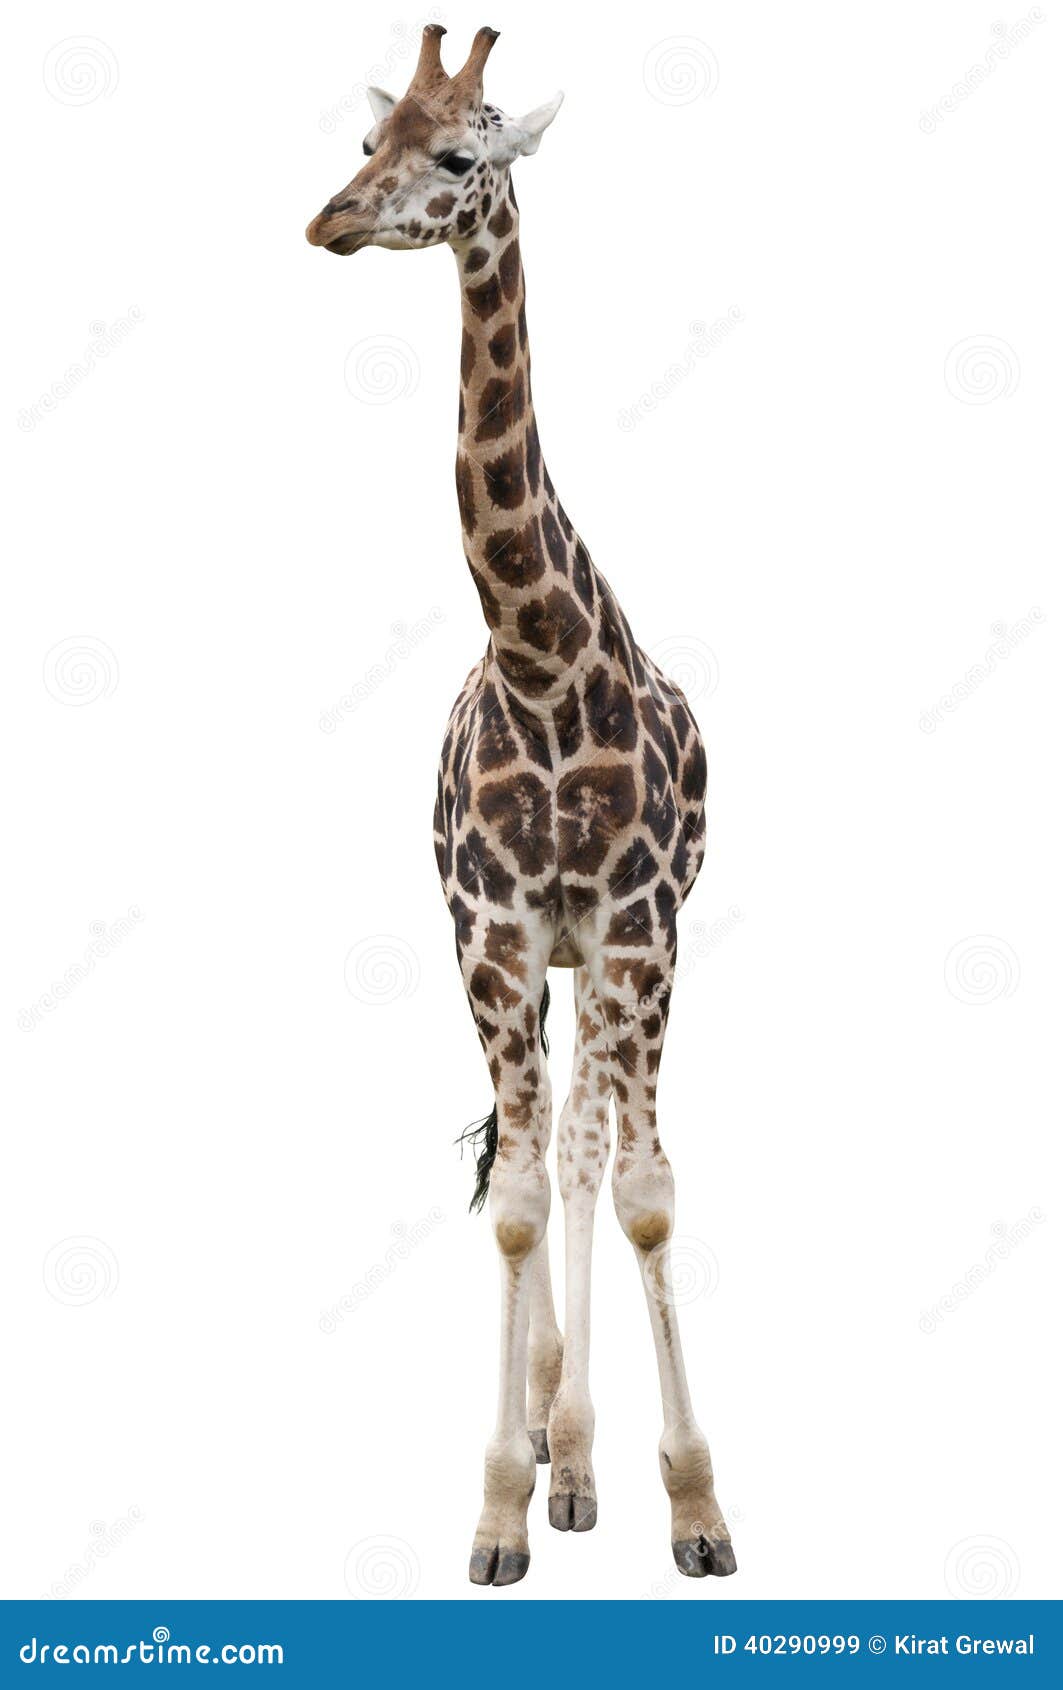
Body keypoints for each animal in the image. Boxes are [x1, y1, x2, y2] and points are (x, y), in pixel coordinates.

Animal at [307, 25, 735, 1589]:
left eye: (457, 153)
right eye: (366, 142)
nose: (328, 221)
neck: (540, 659)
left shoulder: (634, 927)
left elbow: (640, 1188)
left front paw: (694, 1505)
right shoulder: (492, 932)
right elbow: (508, 1204)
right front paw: (500, 1504)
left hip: (603, 962)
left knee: (586, 1146)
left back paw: (588, 1449)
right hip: (539, 964)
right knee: (543, 1146)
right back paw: (559, 1445)